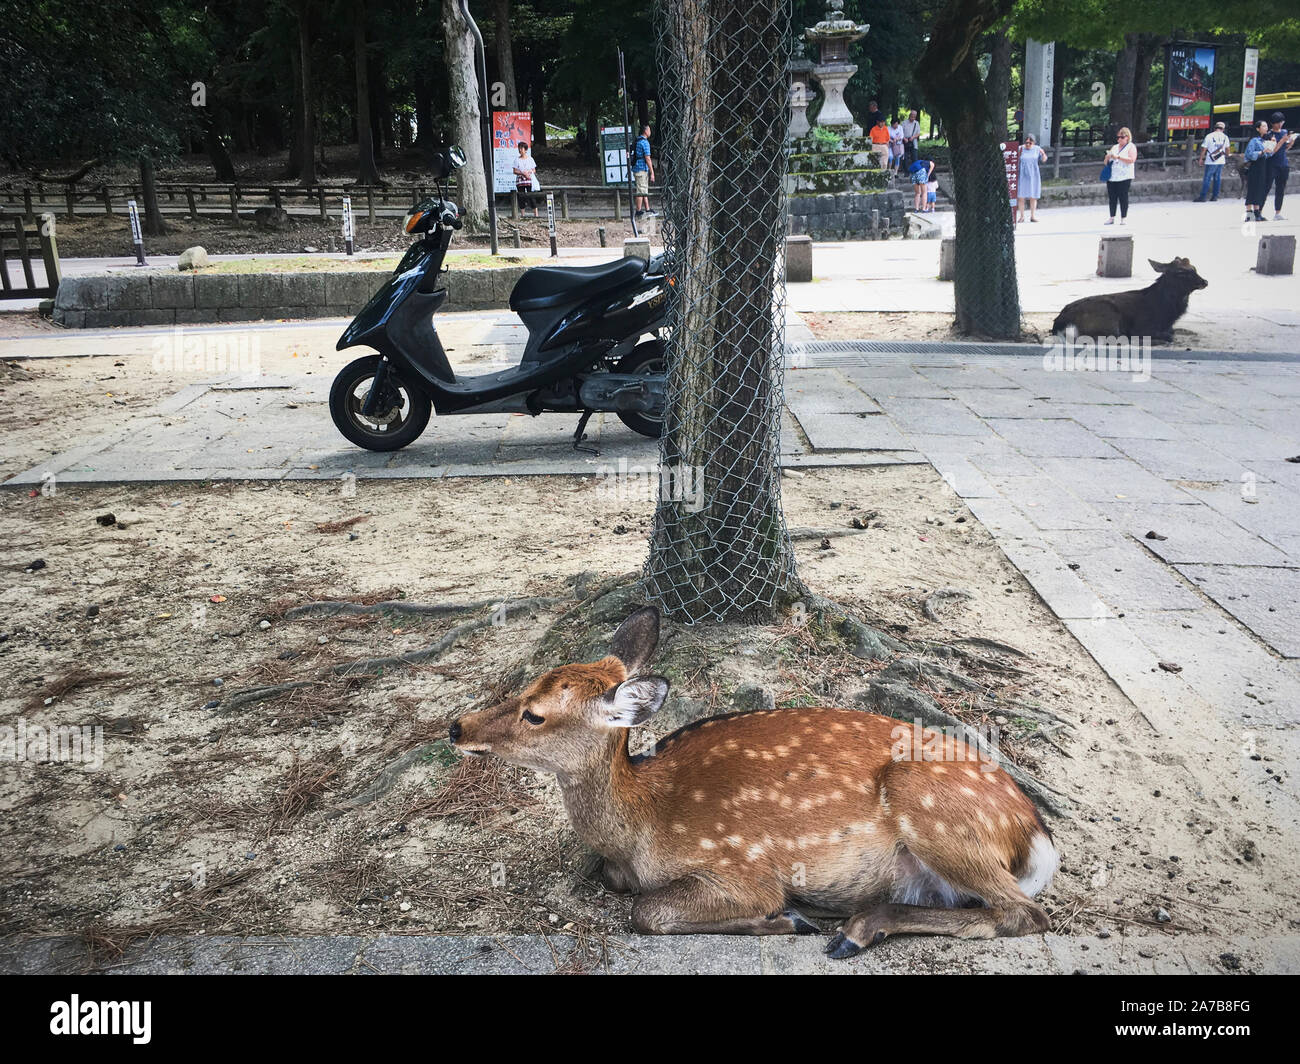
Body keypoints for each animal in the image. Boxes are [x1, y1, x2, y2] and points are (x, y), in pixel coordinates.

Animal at [448, 606, 1058, 957]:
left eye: (536, 714)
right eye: (526, 686)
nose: (457, 726)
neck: (643, 825)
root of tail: (1036, 833)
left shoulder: (739, 865)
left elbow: (647, 911)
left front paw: (786, 919)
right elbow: (617, 882)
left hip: (932, 809)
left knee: (1026, 914)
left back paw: (851, 929)